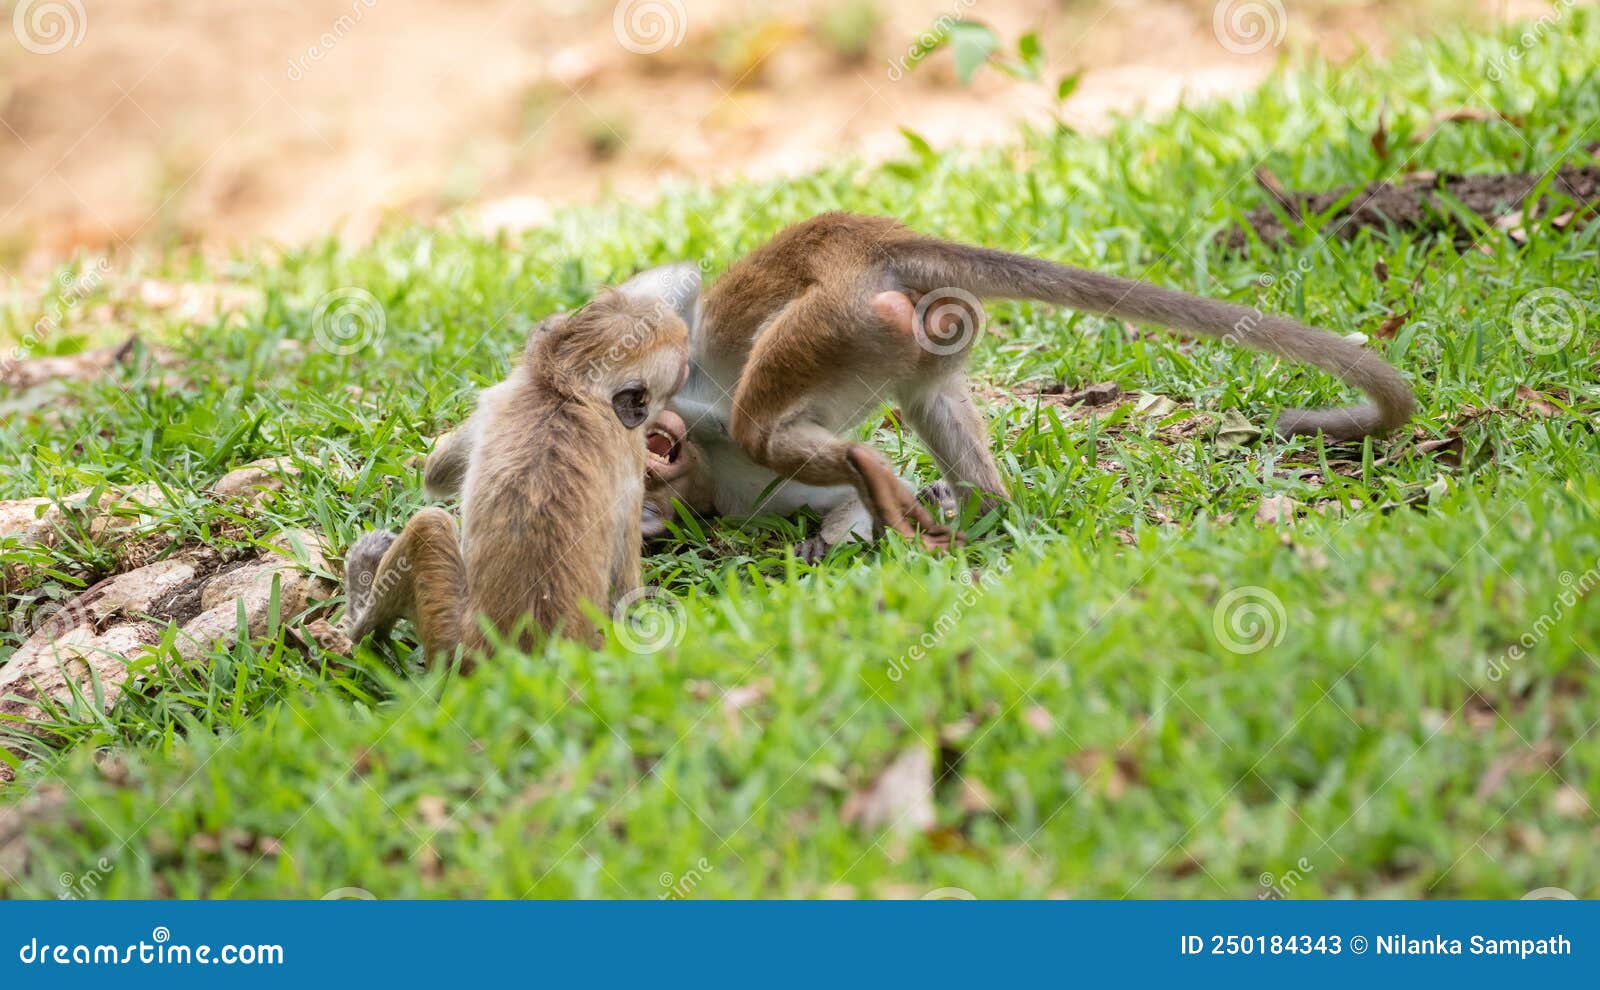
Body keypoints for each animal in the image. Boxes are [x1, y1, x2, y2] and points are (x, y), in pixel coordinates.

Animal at [342, 289, 690, 665]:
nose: (690, 361)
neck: (569, 390)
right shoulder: (628, 447)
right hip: (449, 636)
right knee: (430, 524)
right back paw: (357, 623)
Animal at [429, 212, 1414, 557]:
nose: (660, 448)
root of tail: (876, 243)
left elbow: (671, 300)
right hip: (897, 334)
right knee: (924, 399)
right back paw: (979, 509)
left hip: (831, 320)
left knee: (758, 423)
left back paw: (881, 477)